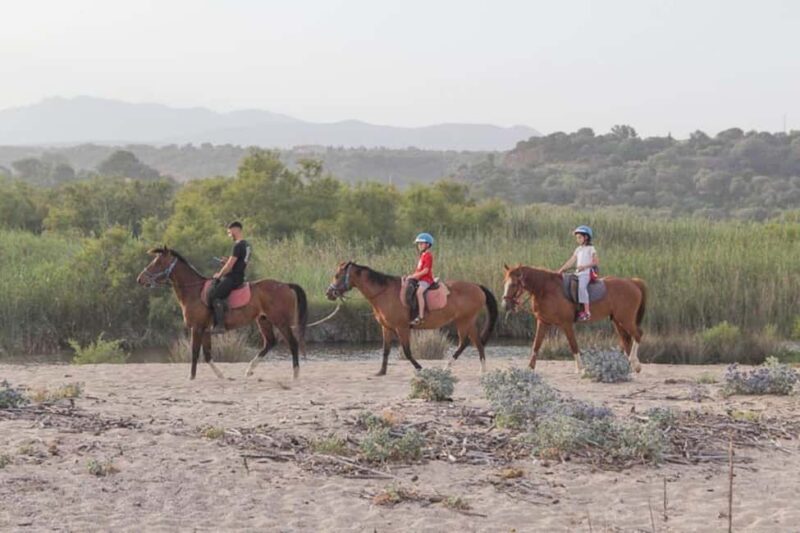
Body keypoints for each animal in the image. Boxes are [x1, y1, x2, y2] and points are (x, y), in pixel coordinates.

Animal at [136, 247, 307, 380]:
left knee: (292, 343)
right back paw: (249, 370)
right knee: (270, 342)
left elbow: (194, 352)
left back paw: (295, 374)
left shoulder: (197, 328)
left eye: (157, 263)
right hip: (263, 320)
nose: (140, 279)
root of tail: (285, 285)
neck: (194, 291)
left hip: (281, 321)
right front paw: (220, 375)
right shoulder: (205, 330)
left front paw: (191, 377)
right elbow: (207, 354)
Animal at [325, 261, 498, 375]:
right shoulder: (386, 328)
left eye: (337, 275)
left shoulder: (401, 328)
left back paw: (448, 367)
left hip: (464, 320)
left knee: (465, 343)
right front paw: (381, 371)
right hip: (467, 321)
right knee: (476, 343)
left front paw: (420, 368)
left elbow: (407, 351)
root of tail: (477, 286)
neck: (384, 293)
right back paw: (481, 370)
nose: (329, 293)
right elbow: (386, 350)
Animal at [501, 264, 647, 374]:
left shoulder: (566, 324)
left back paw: (635, 363)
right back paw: (632, 365)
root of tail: (633, 282)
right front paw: (529, 368)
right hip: (618, 321)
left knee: (638, 335)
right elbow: (536, 345)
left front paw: (580, 368)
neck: (545, 289)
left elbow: (573, 345)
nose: (505, 305)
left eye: (514, 284)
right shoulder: (543, 322)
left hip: (625, 319)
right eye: (505, 283)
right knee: (626, 340)